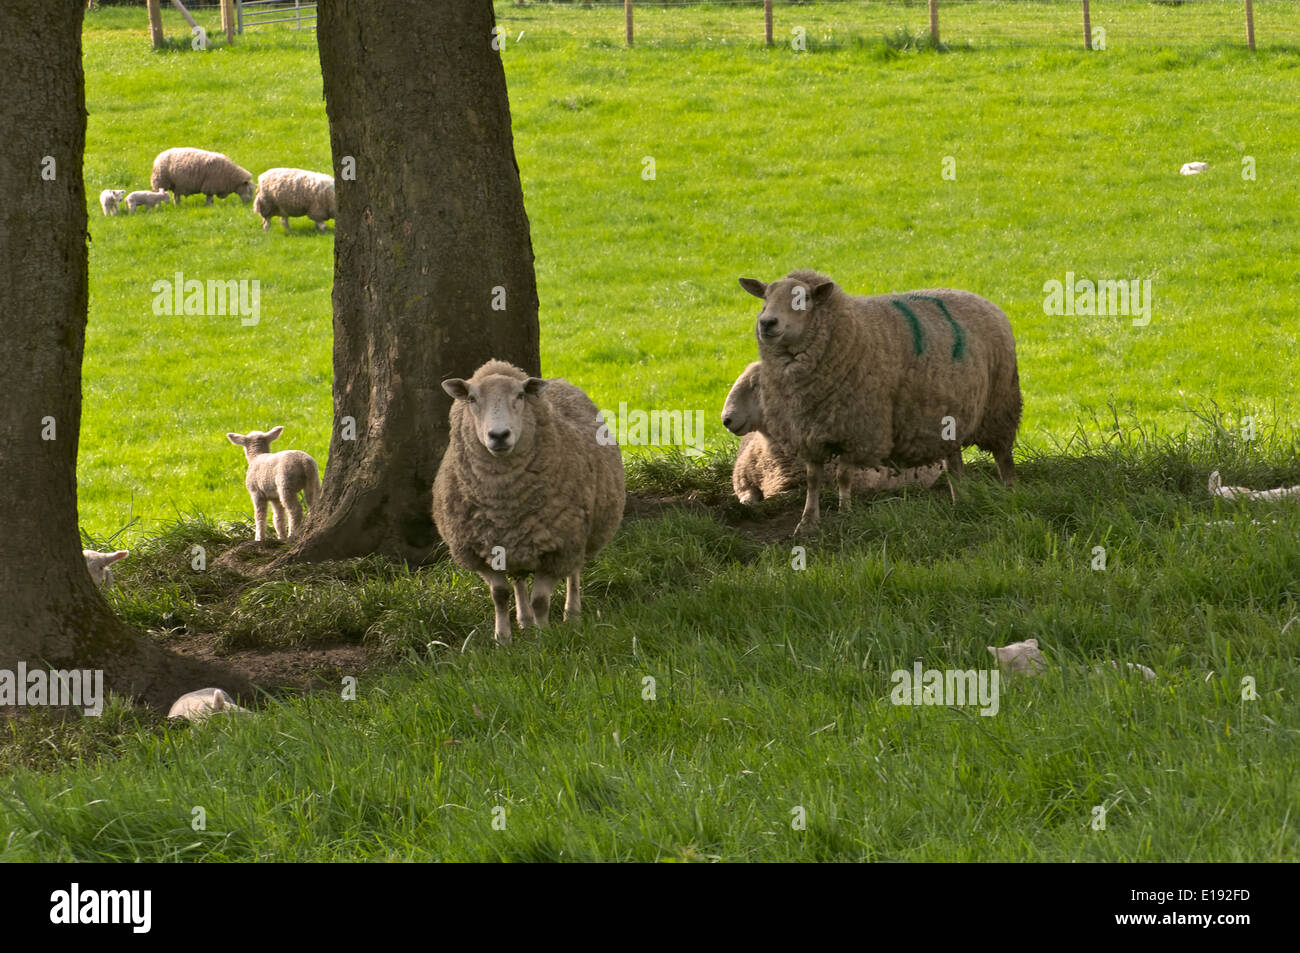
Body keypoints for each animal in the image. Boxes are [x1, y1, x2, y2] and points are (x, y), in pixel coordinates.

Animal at [433, 359, 626, 646]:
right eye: (472, 398)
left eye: (520, 396)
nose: (499, 435)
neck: (502, 503)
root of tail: (558, 380)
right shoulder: (480, 552)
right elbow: (500, 596)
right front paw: (503, 639)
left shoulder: (559, 547)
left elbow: (541, 600)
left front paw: (543, 638)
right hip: (516, 545)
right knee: (519, 580)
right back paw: (524, 622)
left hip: (578, 536)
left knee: (573, 574)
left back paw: (571, 614)